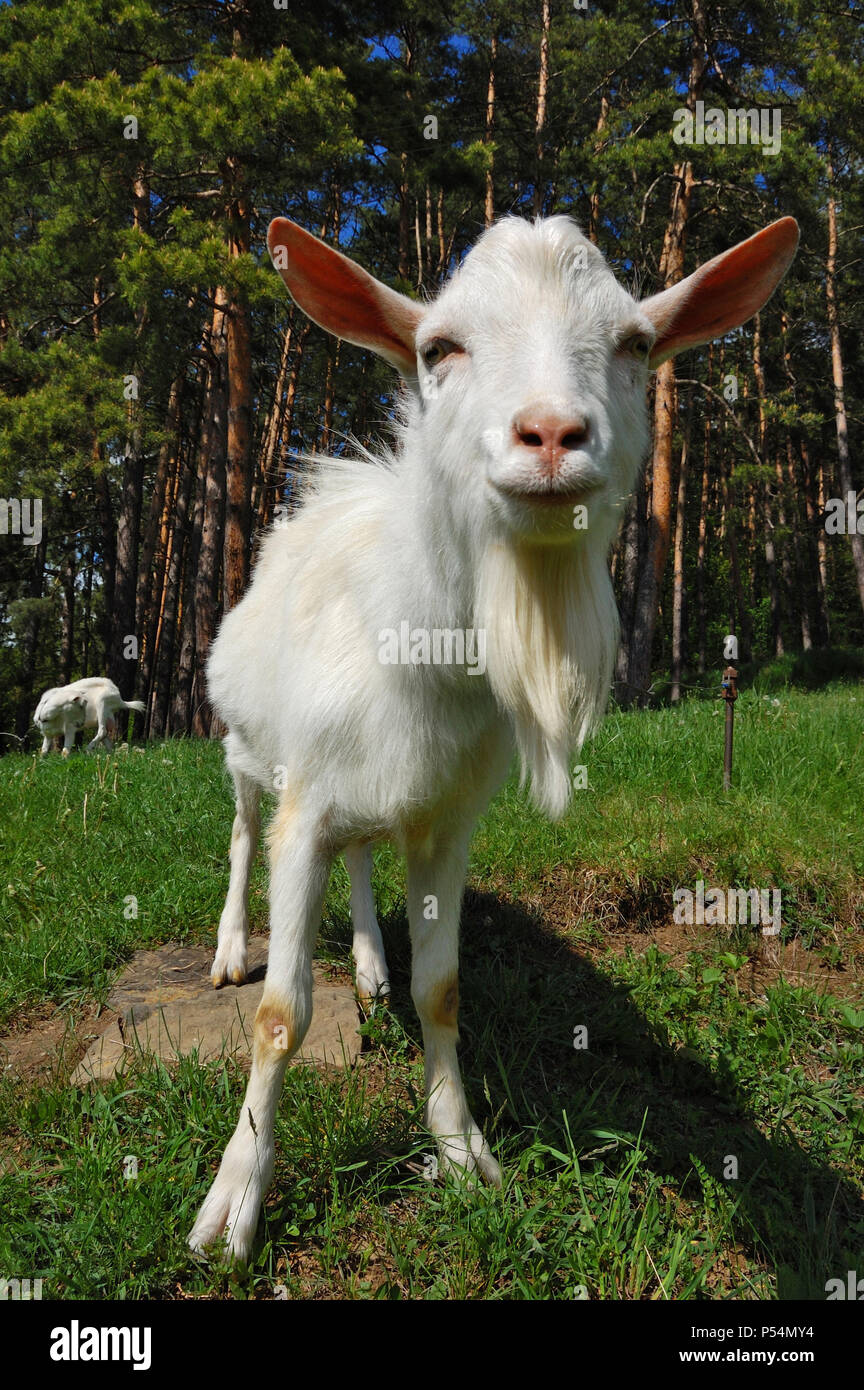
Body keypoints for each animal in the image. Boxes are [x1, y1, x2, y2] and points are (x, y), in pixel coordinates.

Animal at [189, 211, 798, 1262]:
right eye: (440, 347)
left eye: (636, 343)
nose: (551, 435)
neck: (414, 639)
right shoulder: (307, 802)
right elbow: (278, 1017)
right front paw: (236, 1198)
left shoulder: (447, 816)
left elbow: (443, 990)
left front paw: (461, 1150)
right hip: (243, 747)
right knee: (238, 830)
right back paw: (233, 945)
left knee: (362, 856)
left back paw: (369, 965)